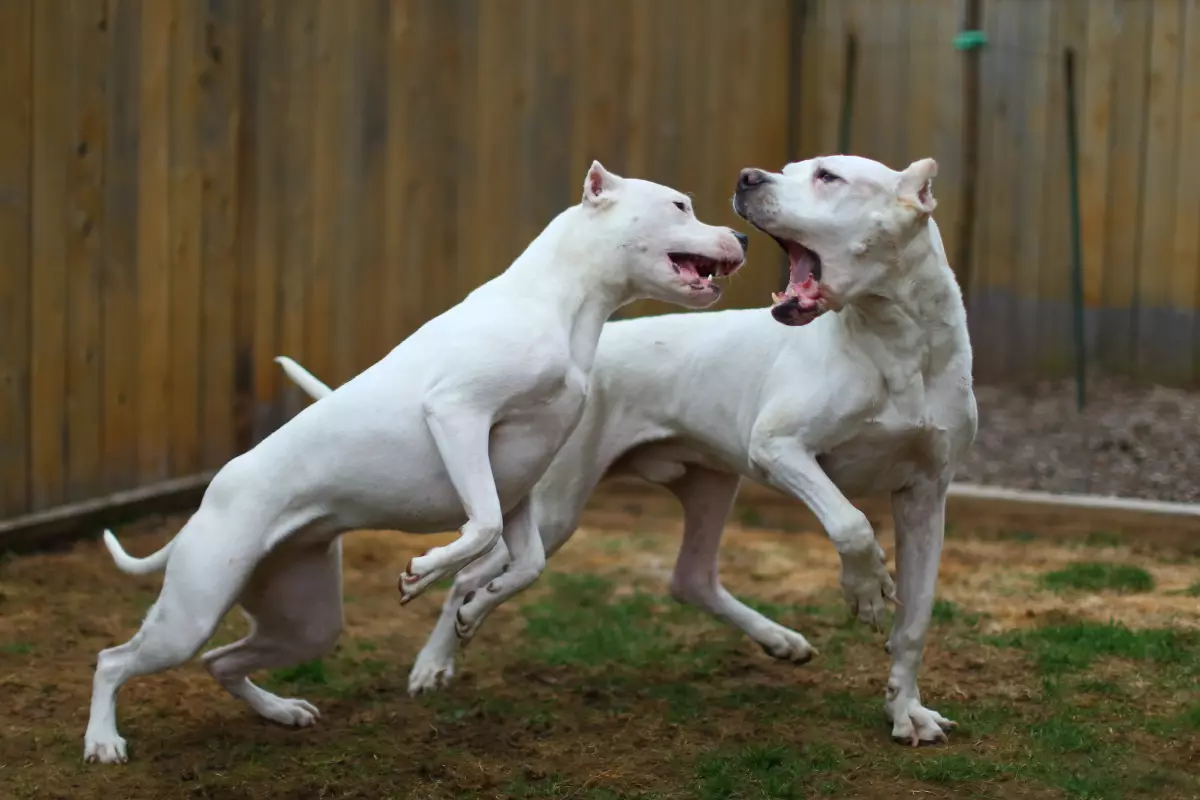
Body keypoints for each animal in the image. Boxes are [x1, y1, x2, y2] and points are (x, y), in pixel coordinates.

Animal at [91, 160, 748, 762]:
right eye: (681, 205)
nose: (741, 237)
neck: (562, 302)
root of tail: (208, 502)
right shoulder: (457, 414)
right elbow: (480, 528)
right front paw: (424, 572)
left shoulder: (521, 481)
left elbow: (525, 565)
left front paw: (475, 610)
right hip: (191, 612)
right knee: (113, 660)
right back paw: (102, 741)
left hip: (303, 621)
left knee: (221, 662)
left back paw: (280, 711)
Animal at [285, 158, 979, 753]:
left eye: (828, 176)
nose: (749, 178)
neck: (894, 342)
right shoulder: (780, 446)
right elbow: (850, 521)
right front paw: (865, 589)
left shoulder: (926, 498)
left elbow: (915, 618)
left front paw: (906, 711)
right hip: (557, 507)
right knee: (471, 576)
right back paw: (435, 661)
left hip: (709, 484)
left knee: (691, 578)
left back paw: (778, 640)